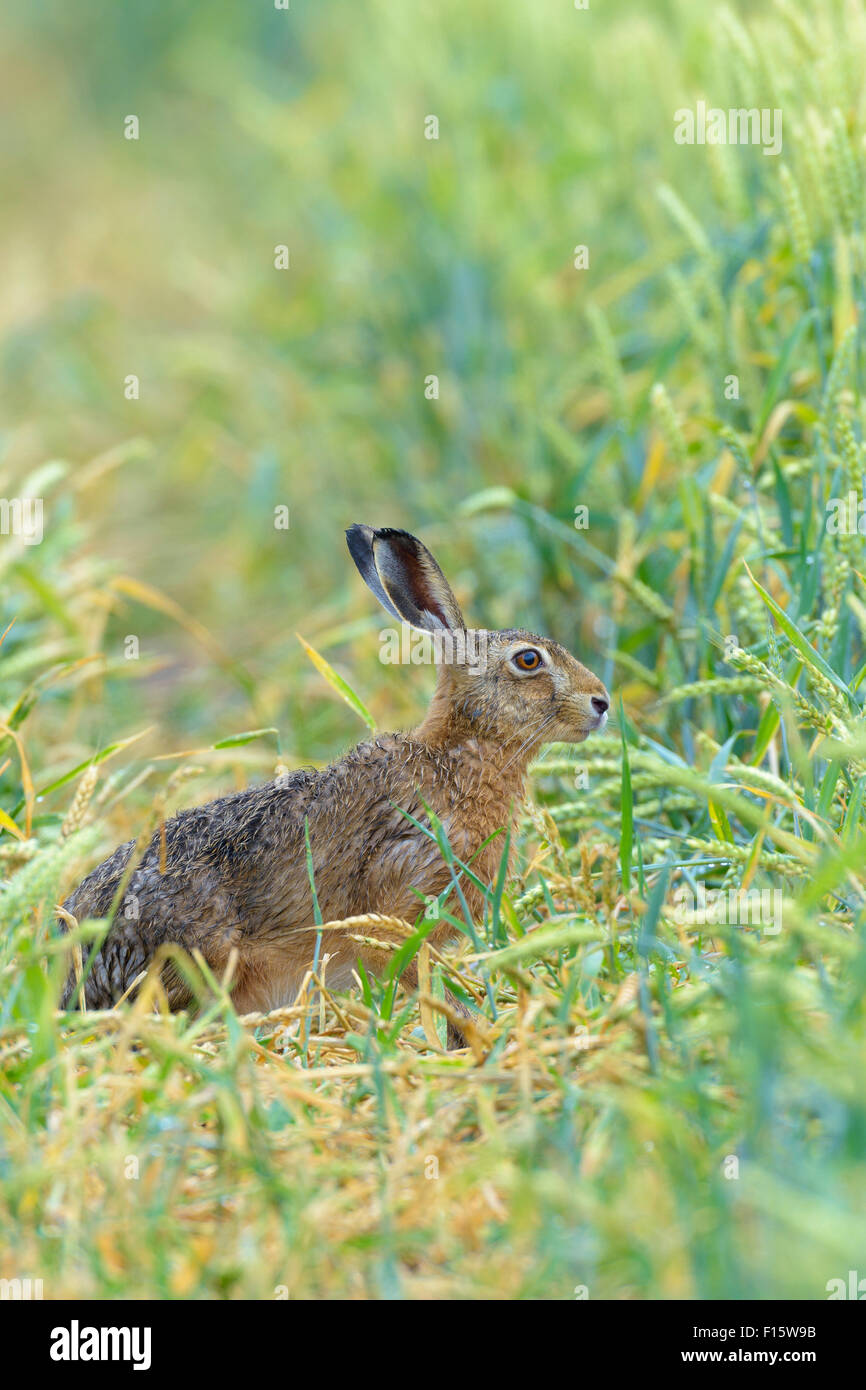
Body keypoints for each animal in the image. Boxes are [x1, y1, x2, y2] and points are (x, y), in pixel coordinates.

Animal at [59, 525, 610, 1044]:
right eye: (529, 660)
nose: (601, 702)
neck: (458, 755)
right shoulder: (398, 903)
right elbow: (422, 982)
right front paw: (476, 1035)